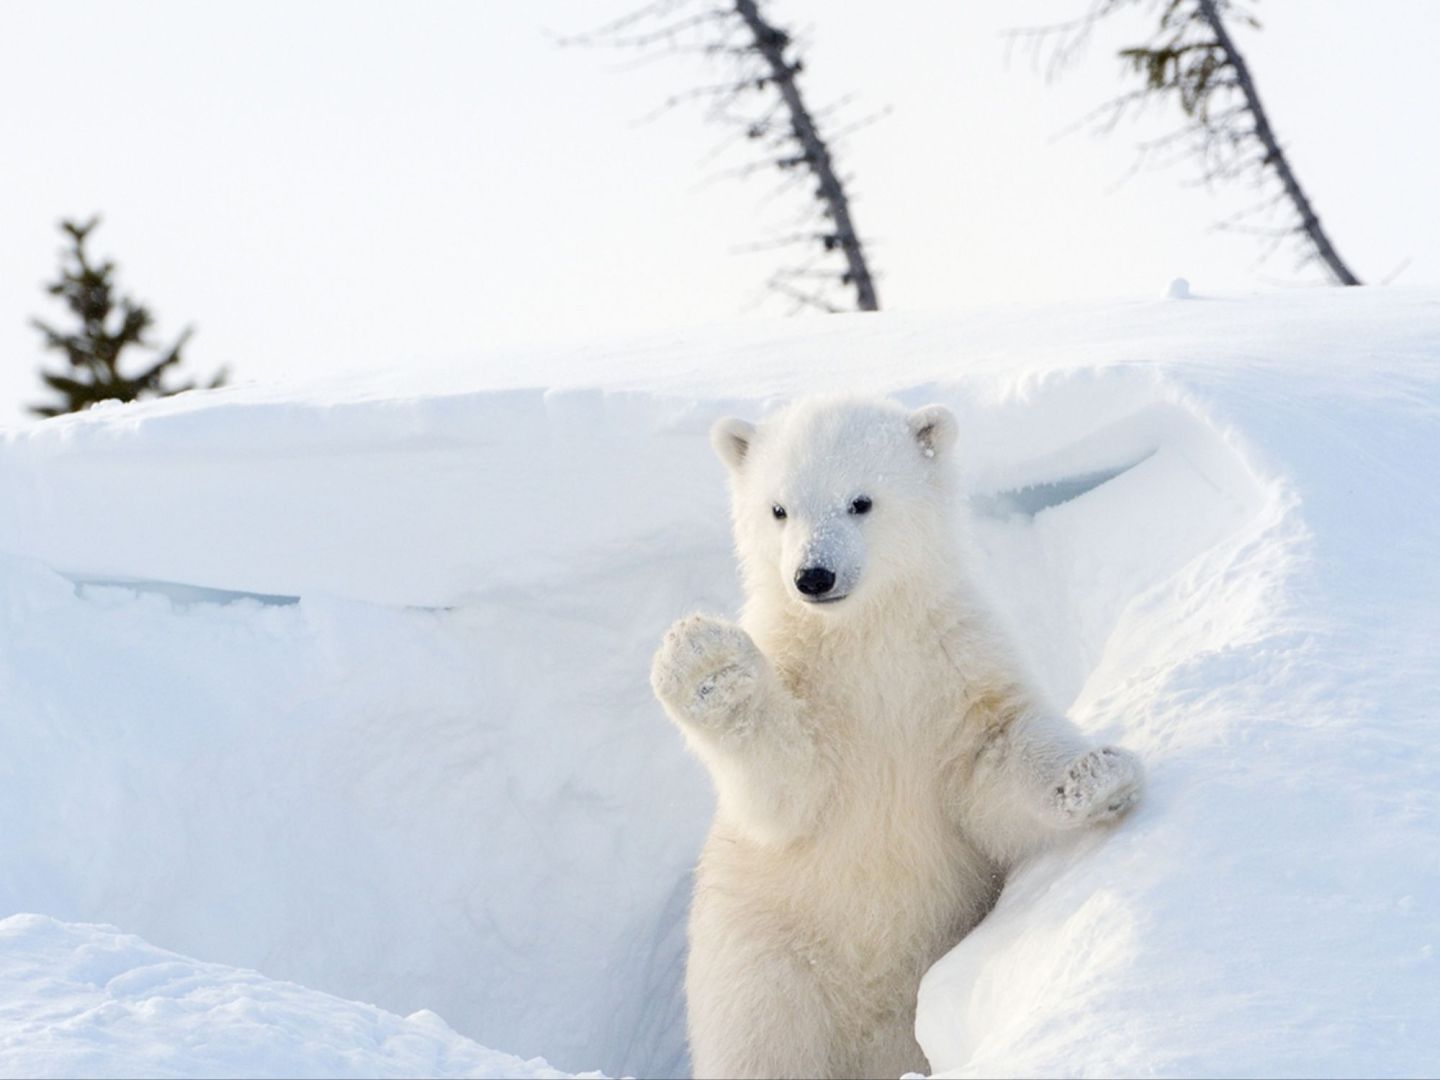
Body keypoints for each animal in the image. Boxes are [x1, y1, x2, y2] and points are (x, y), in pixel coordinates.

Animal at [650, 397, 1143, 1080]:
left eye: (860, 501)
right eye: (778, 509)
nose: (813, 575)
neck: (864, 636)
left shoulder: (953, 664)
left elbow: (994, 755)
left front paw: (1096, 776)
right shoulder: (807, 683)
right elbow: (788, 792)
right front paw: (707, 663)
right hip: (765, 963)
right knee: (763, 1046)